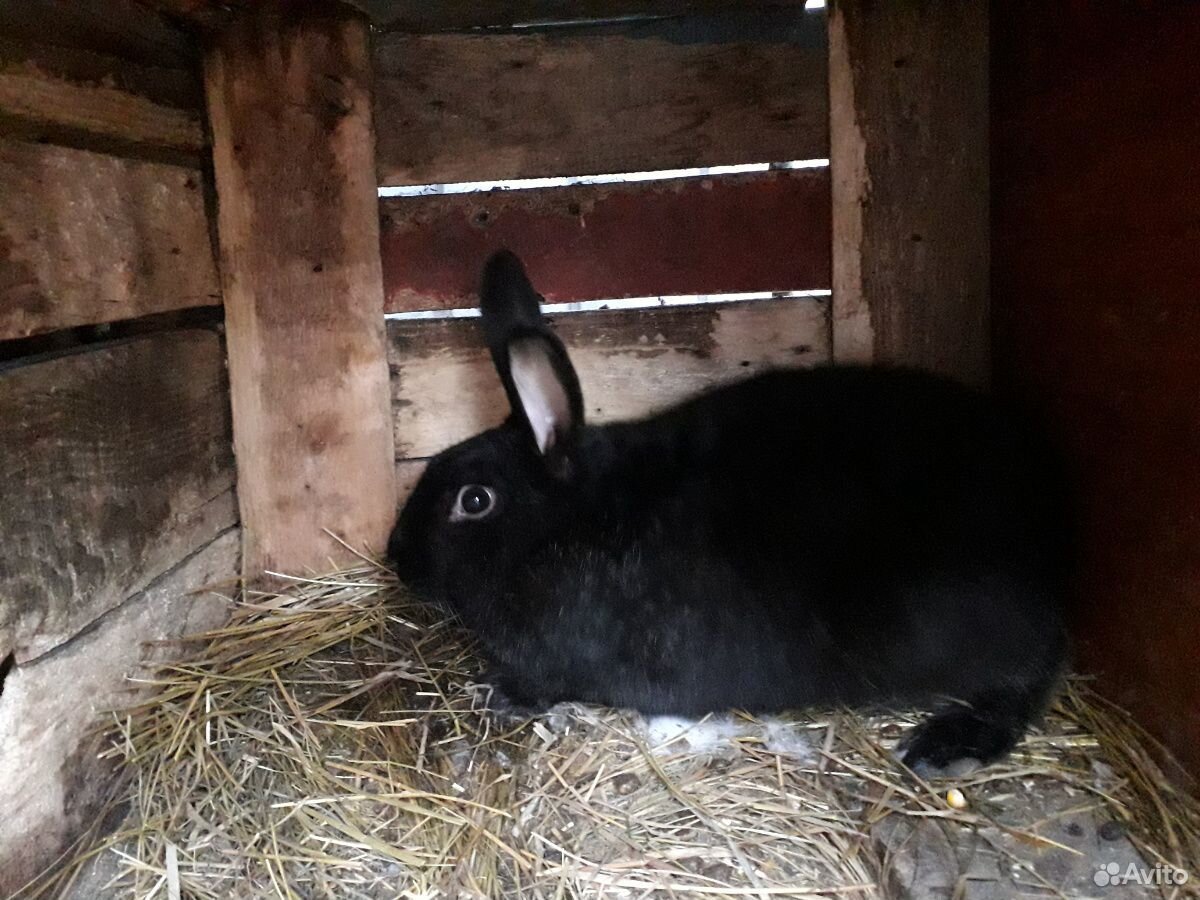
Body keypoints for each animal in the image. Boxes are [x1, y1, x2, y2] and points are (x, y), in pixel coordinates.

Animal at [388, 249, 1070, 774]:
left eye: (474, 501)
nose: (396, 559)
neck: (570, 520)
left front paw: (501, 694)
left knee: (1023, 684)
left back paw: (947, 743)